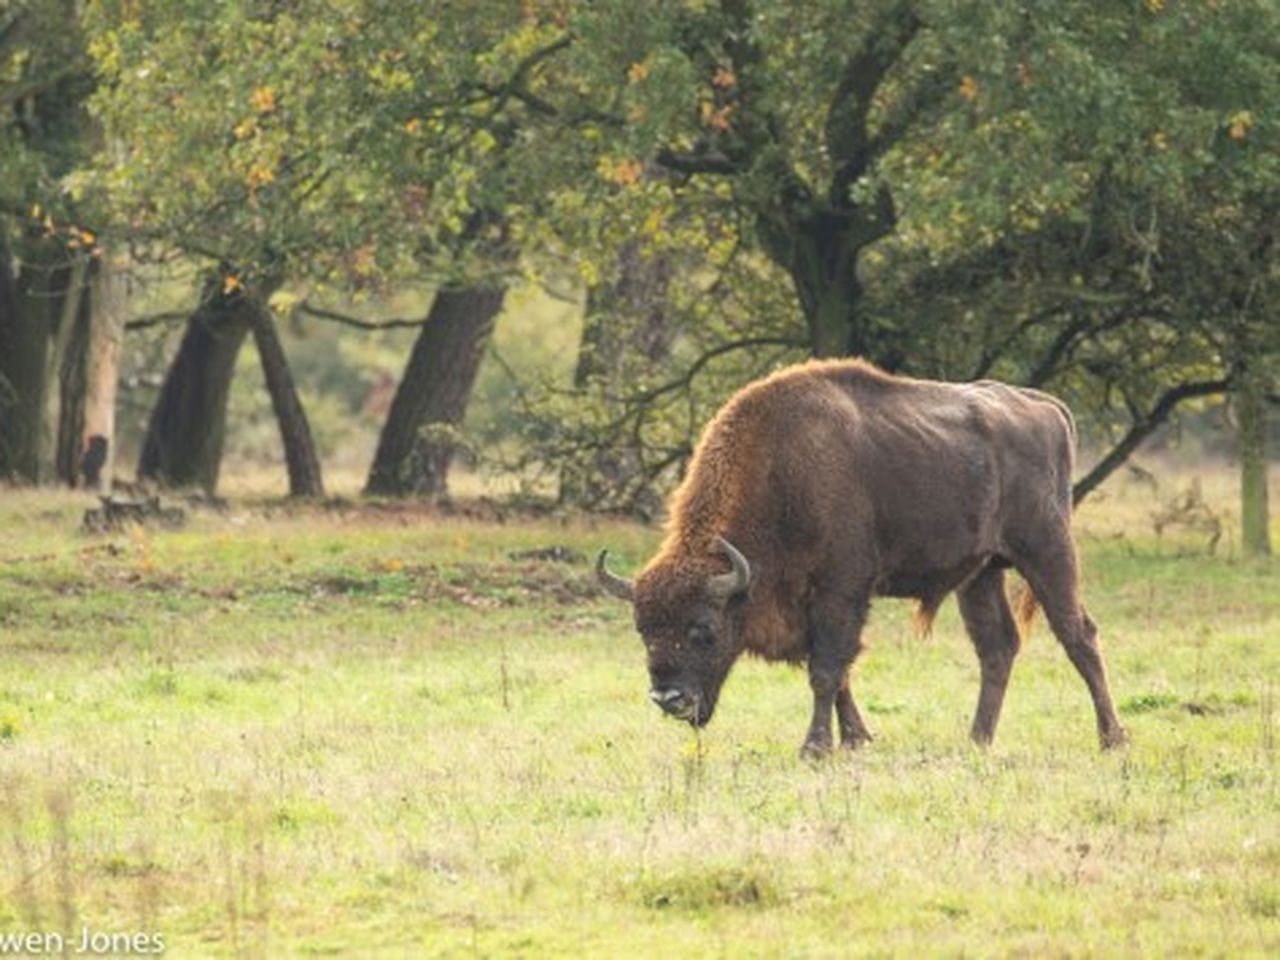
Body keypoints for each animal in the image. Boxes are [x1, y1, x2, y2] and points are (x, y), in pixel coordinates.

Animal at [598, 359, 1128, 756]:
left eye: (703, 629)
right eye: (643, 629)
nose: (668, 698)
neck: (781, 472)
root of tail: (1044, 405)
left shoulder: (840, 592)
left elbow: (827, 669)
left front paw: (815, 749)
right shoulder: (816, 607)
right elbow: (838, 674)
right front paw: (856, 740)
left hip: (1047, 551)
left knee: (1079, 634)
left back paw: (1112, 739)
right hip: (980, 574)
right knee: (997, 646)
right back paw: (977, 740)